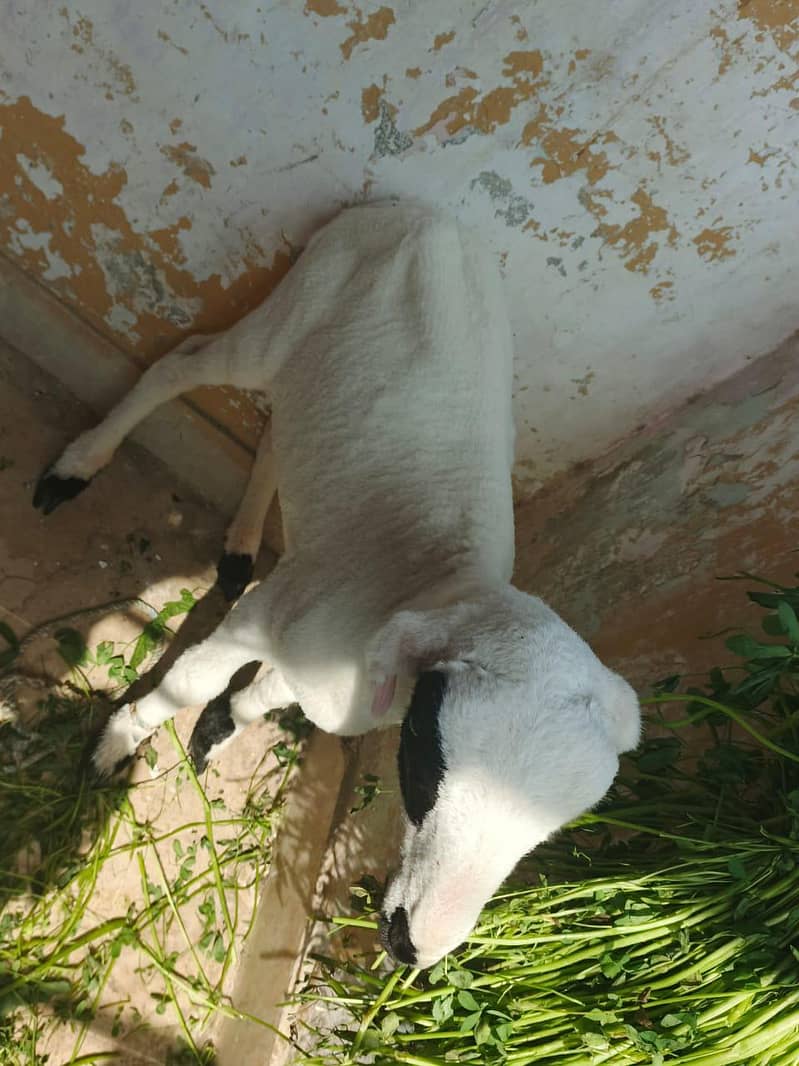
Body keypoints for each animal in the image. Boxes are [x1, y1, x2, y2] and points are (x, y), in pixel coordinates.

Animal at [33, 200, 640, 969]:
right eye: (429, 766)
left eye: (543, 833)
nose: (413, 946)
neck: (423, 581)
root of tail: (429, 213)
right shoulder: (258, 623)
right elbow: (190, 682)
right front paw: (118, 744)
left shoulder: (318, 665)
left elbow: (262, 696)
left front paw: (218, 732)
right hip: (287, 314)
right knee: (183, 362)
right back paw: (77, 465)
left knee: (273, 431)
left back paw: (238, 548)